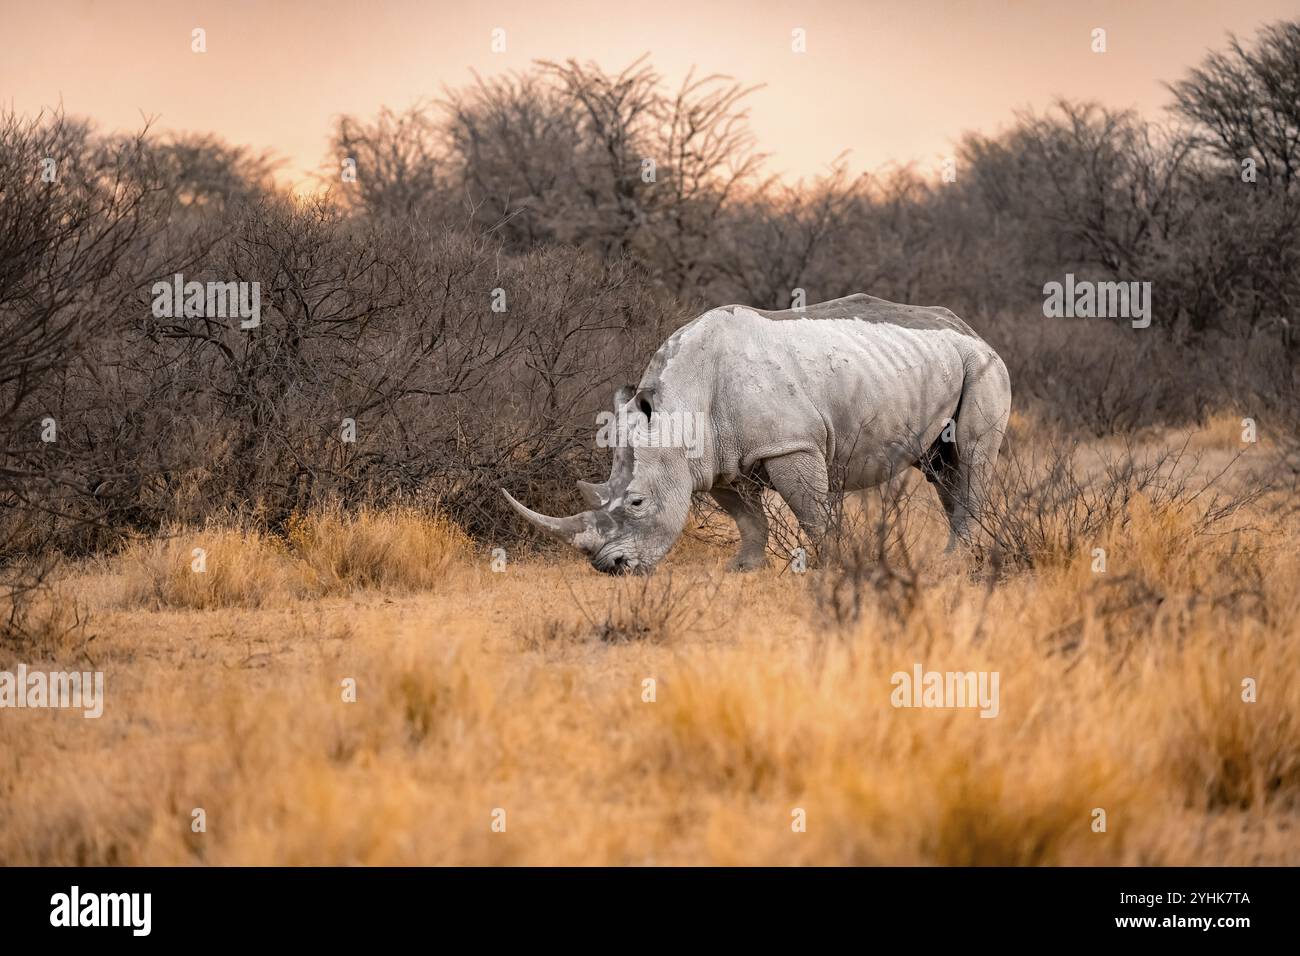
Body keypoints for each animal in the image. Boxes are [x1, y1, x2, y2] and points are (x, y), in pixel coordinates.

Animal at [503, 293, 1011, 574]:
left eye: (637, 503)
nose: (611, 568)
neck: (679, 406)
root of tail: (971, 329)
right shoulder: (712, 458)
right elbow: (747, 517)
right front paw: (743, 568)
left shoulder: (789, 444)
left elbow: (812, 511)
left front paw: (832, 563)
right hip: (940, 364)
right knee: (941, 467)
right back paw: (956, 553)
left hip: (984, 365)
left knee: (971, 456)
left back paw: (955, 560)